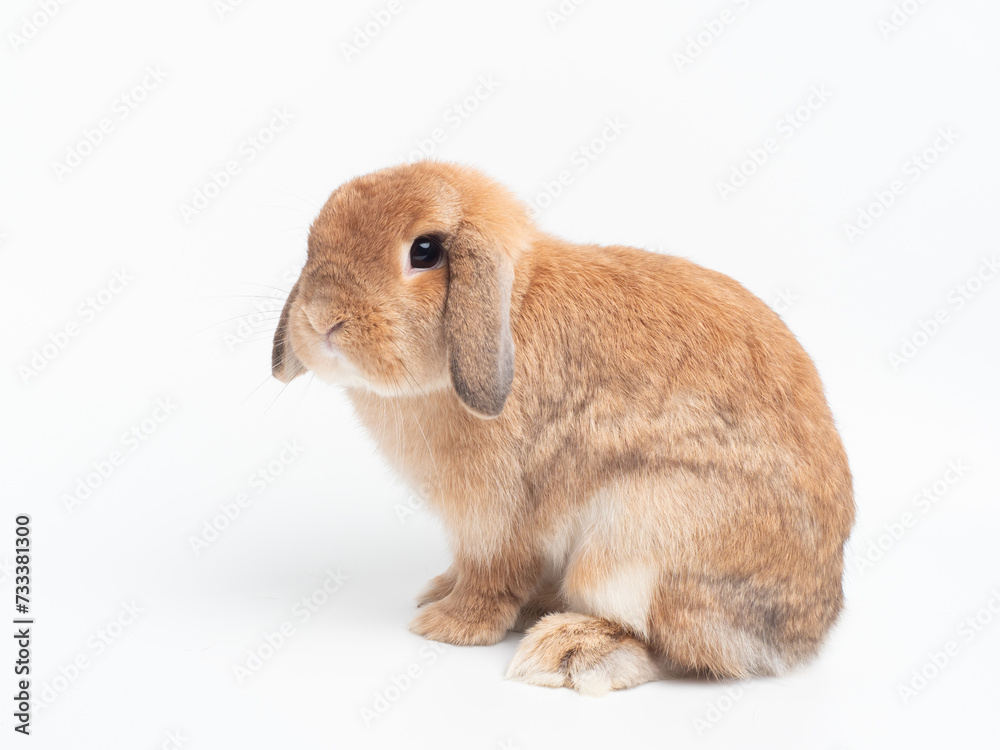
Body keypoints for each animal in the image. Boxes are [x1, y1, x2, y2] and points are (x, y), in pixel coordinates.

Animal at [272, 161, 854, 695]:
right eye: (313, 240)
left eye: (425, 251)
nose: (322, 319)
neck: (512, 306)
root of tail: (801, 636)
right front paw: (438, 591)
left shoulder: (493, 516)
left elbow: (490, 574)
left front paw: (447, 625)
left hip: (637, 542)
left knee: (682, 650)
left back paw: (568, 652)